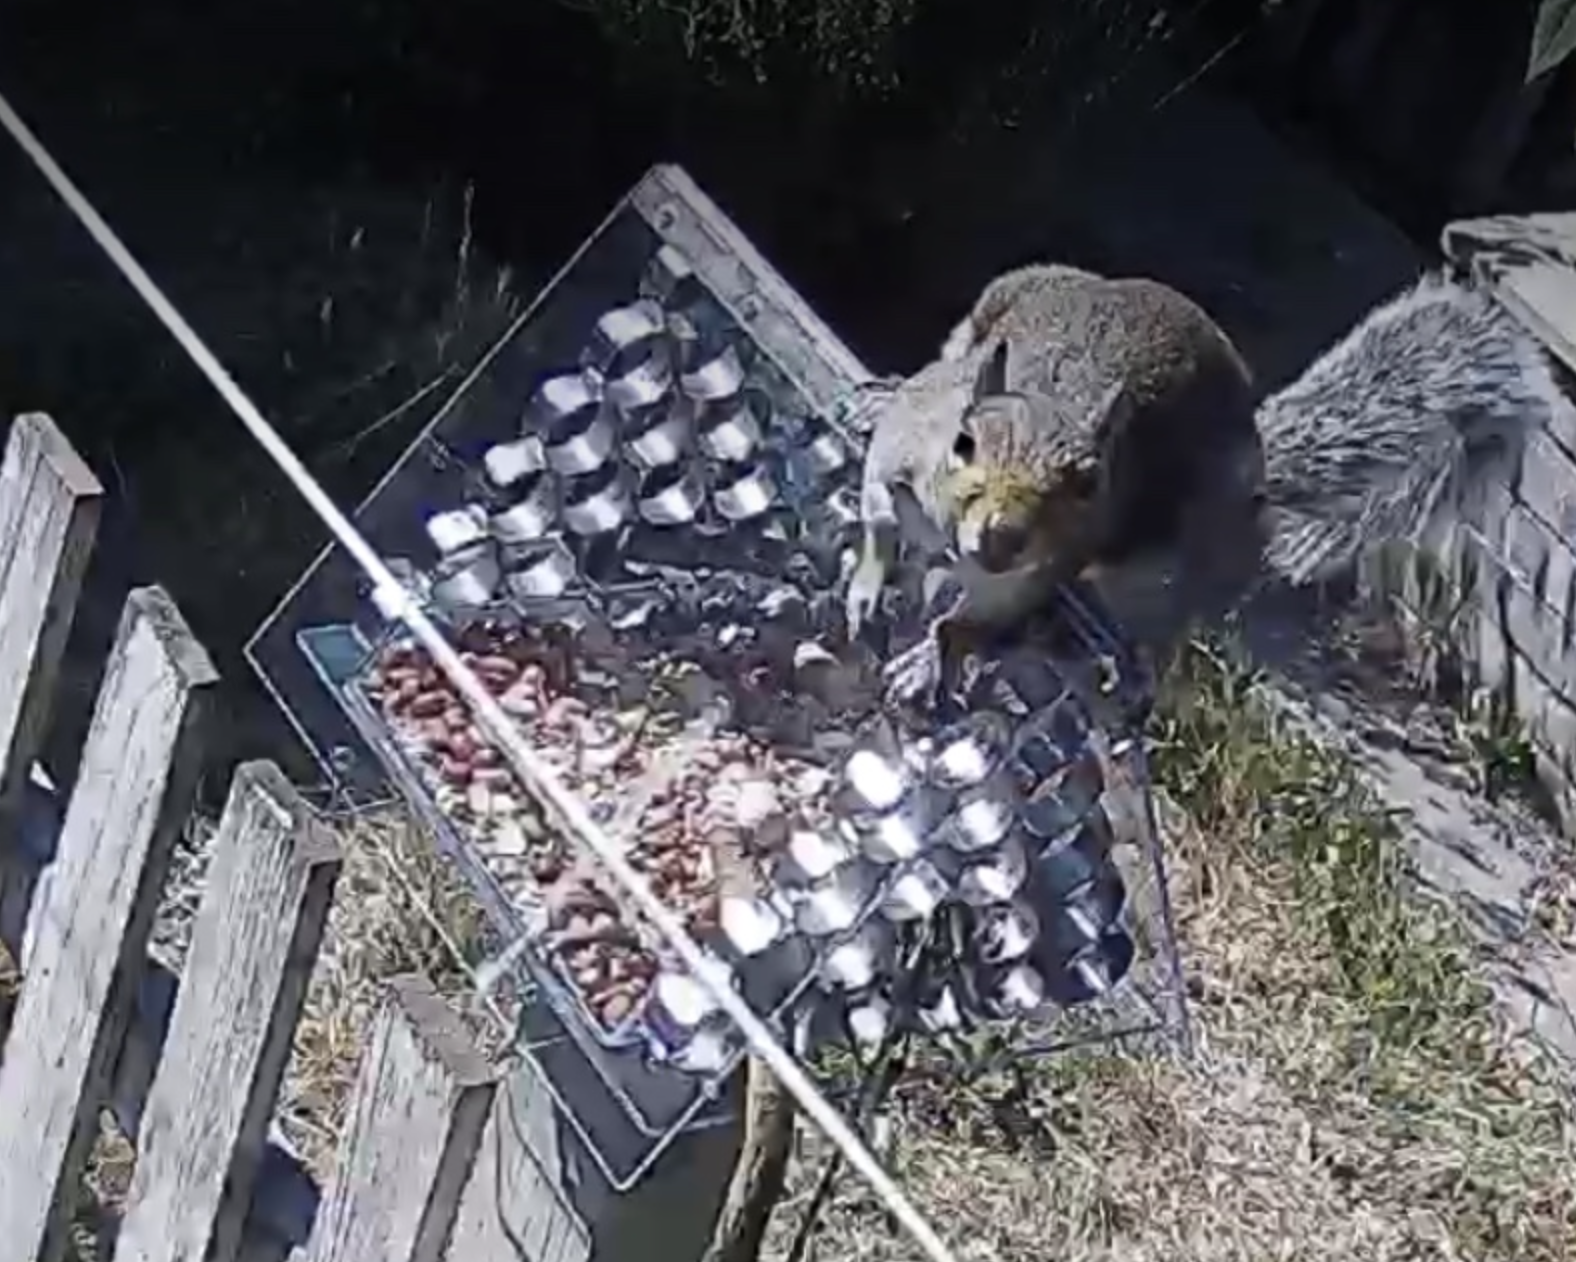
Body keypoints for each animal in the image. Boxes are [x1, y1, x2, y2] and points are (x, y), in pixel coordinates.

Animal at [851, 264, 1572, 704]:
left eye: (1088, 483)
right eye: (963, 443)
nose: (1000, 539)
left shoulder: (1040, 568)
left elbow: (981, 617)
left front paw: (930, 657)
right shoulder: (898, 456)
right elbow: (878, 519)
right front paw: (869, 586)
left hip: (1166, 568)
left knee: (1148, 625)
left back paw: (1128, 668)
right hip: (998, 300)